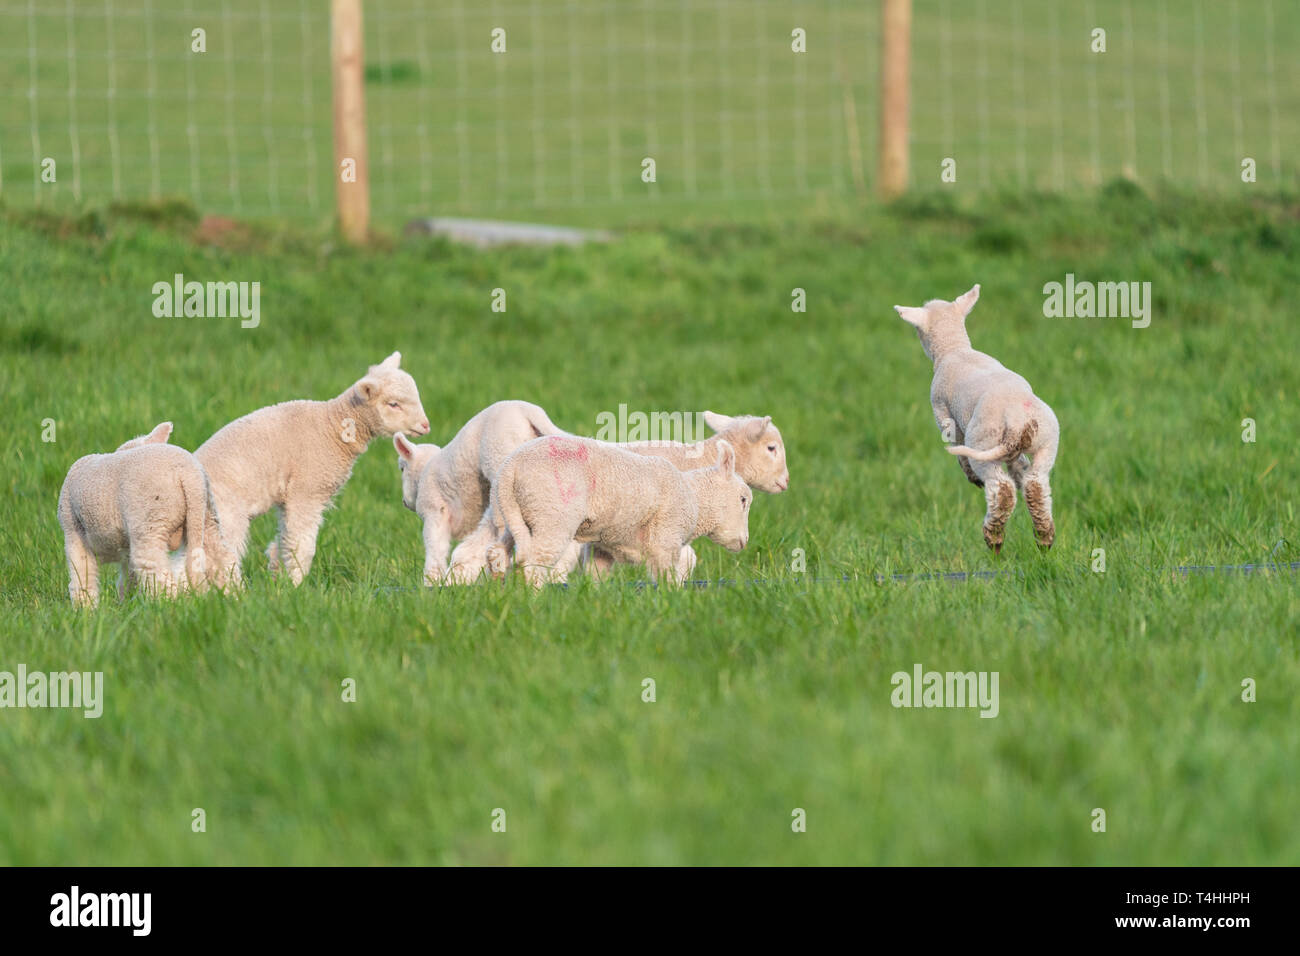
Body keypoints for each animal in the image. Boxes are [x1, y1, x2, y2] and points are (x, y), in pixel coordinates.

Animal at [57, 422, 231, 607]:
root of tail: (188, 475)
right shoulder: (125, 546)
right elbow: (128, 577)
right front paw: (126, 603)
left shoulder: (72, 531)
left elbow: (81, 577)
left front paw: (84, 609)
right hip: (206, 515)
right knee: (221, 560)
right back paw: (230, 596)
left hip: (150, 521)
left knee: (159, 575)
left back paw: (165, 607)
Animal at [191, 351, 430, 586]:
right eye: (393, 404)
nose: (426, 425)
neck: (333, 426)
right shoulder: (307, 492)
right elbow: (301, 545)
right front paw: (295, 584)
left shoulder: (289, 498)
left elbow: (284, 540)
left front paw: (278, 580)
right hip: (226, 514)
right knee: (220, 557)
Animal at [392, 399, 565, 585]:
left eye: (402, 468)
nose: (404, 502)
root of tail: (528, 411)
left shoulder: (434, 511)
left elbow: (435, 550)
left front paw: (432, 583)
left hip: (500, 457)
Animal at [486, 435, 751, 589]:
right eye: (743, 500)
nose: (745, 541)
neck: (694, 497)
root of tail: (511, 466)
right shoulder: (665, 537)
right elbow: (667, 577)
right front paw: (672, 601)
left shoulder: (603, 546)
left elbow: (596, 575)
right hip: (553, 513)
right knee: (534, 563)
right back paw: (535, 601)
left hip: (518, 513)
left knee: (497, 553)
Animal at [894, 284, 1059, 552]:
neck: (955, 349)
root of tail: (1016, 420)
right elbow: (1017, 465)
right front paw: (1019, 469)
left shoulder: (942, 412)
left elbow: (955, 443)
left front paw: (970, 476)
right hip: (1047, 441)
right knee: (1035, 484)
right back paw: (1044, 537)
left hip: (983, 441)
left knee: (1002, 489)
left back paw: (994, 538)